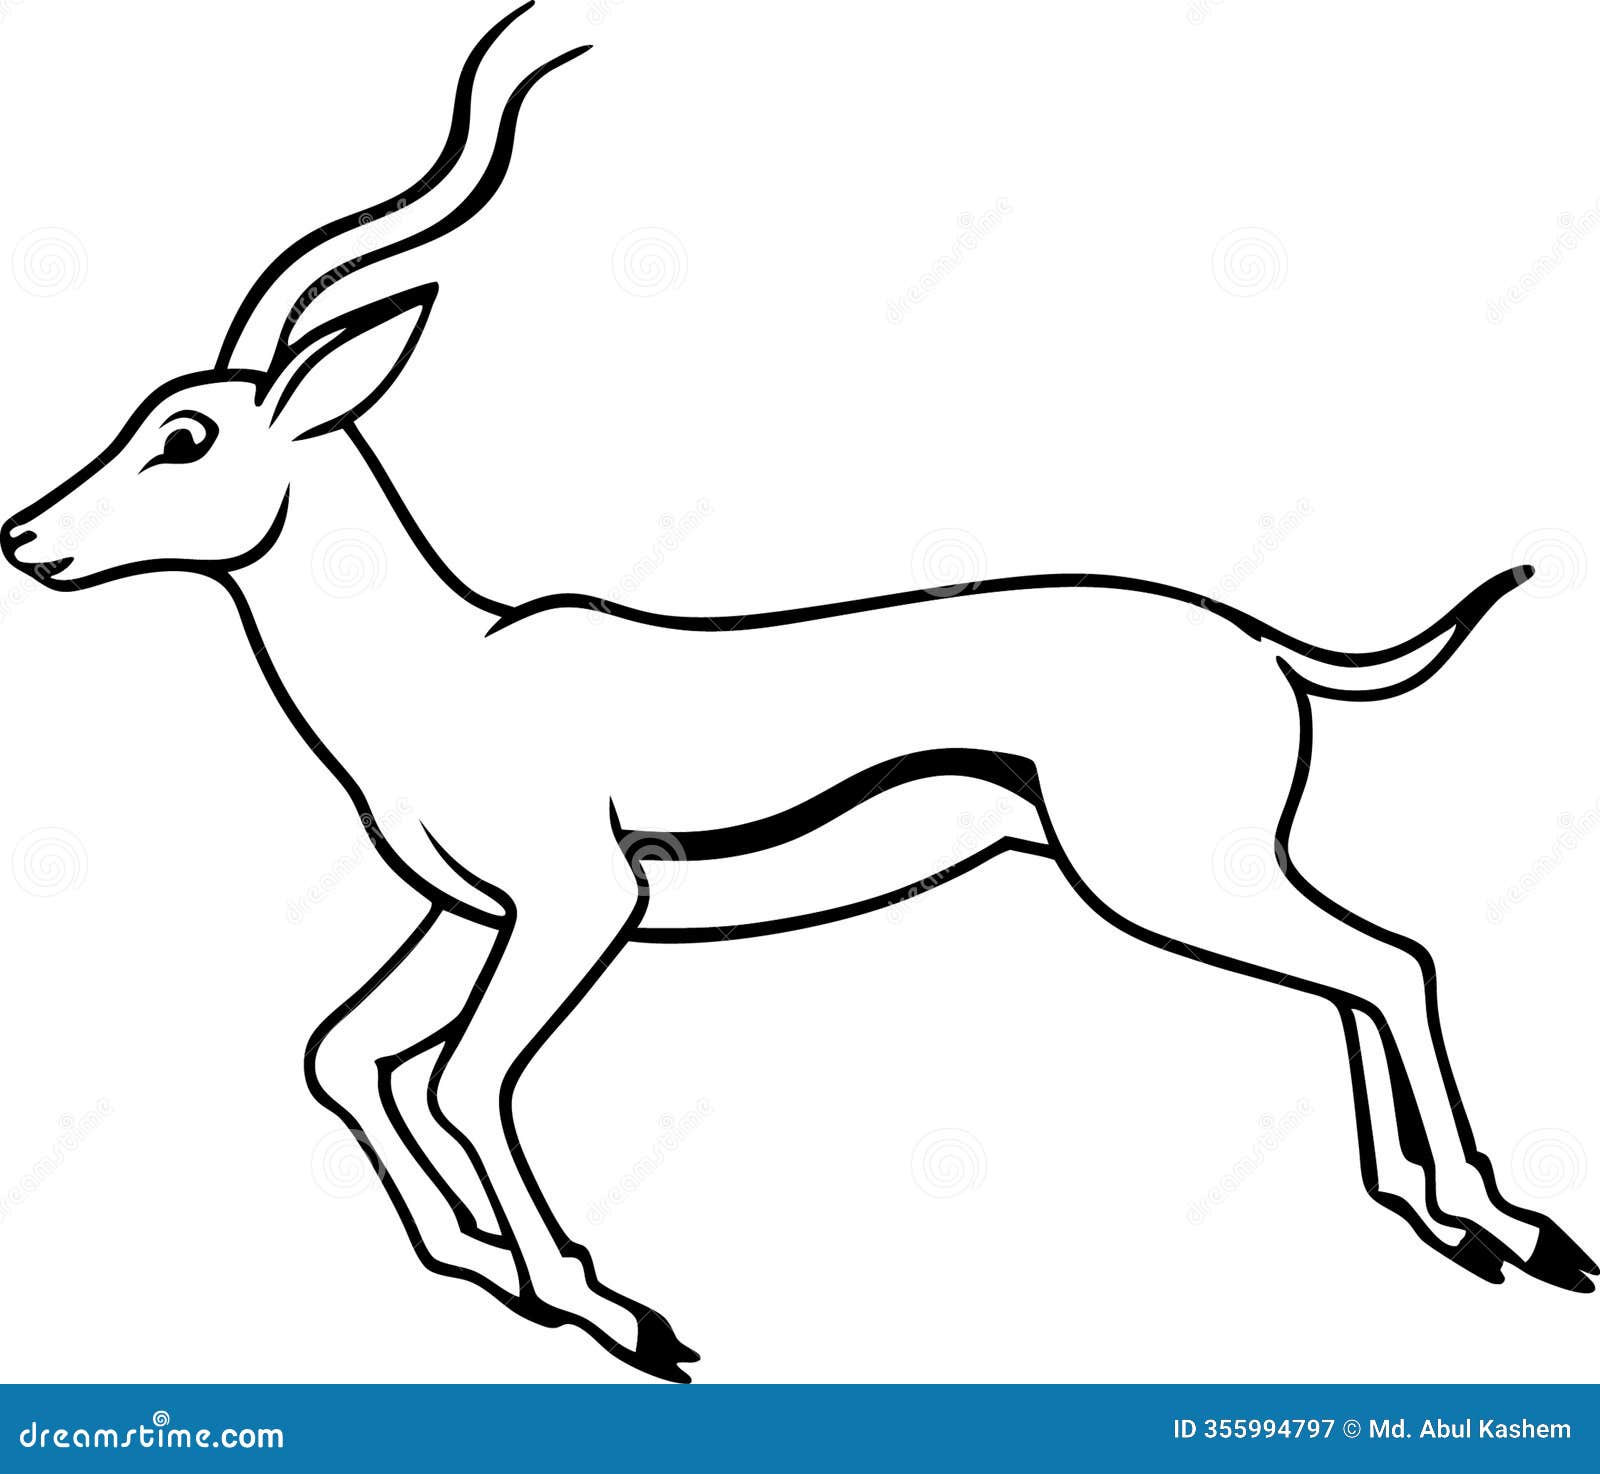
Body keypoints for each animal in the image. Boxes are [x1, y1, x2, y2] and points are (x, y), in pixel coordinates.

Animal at [3, 4, 1592, 1382]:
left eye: (188, 435)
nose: (27, 537)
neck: (444, 671)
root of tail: (1262, 639)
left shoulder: (579, 904)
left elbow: (462, 1076)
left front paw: (609, 1307)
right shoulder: (469, 912)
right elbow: (349, 1055)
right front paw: (483, 1267)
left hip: (1172, 872)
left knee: (1392, 959)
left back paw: (1511, 1229)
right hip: (1210, 872)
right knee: (1356, 972)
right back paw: (1428, 1215)